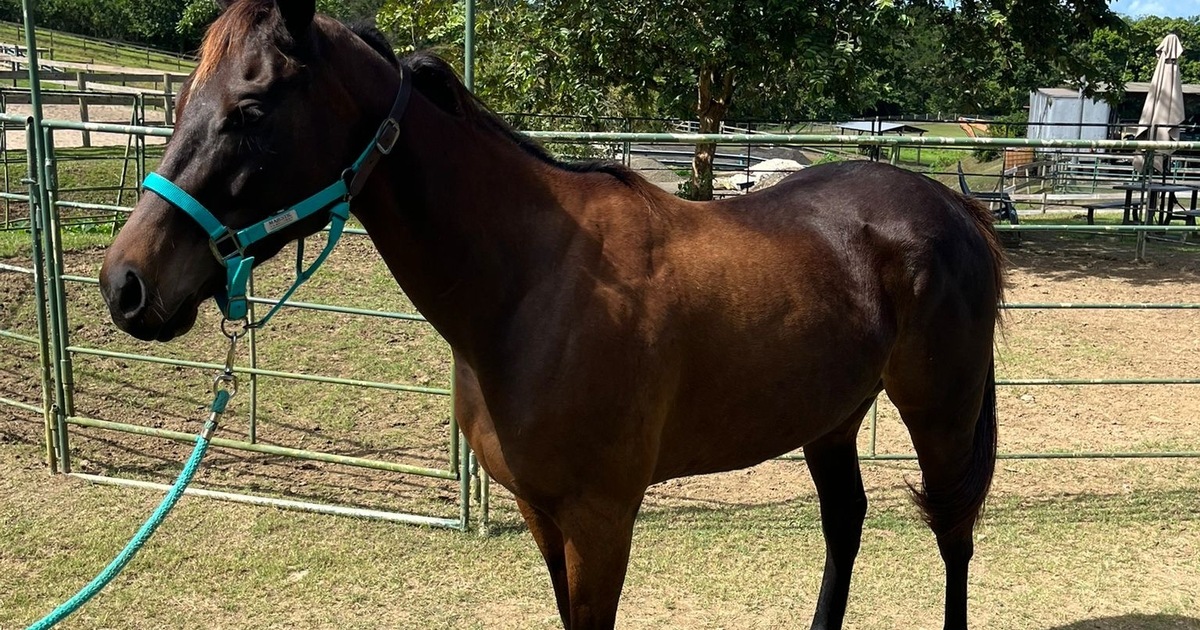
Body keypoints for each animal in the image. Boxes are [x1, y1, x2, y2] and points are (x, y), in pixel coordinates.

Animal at [98, 1, 1005, 628]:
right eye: (181, 102)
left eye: (251, 111)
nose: (126, 284)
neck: (532, 284)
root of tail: (955, 208)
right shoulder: (542, 513)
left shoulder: (601, 520)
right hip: (831, 416)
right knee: (845, 525)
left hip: (940, 413)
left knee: (955, 531)